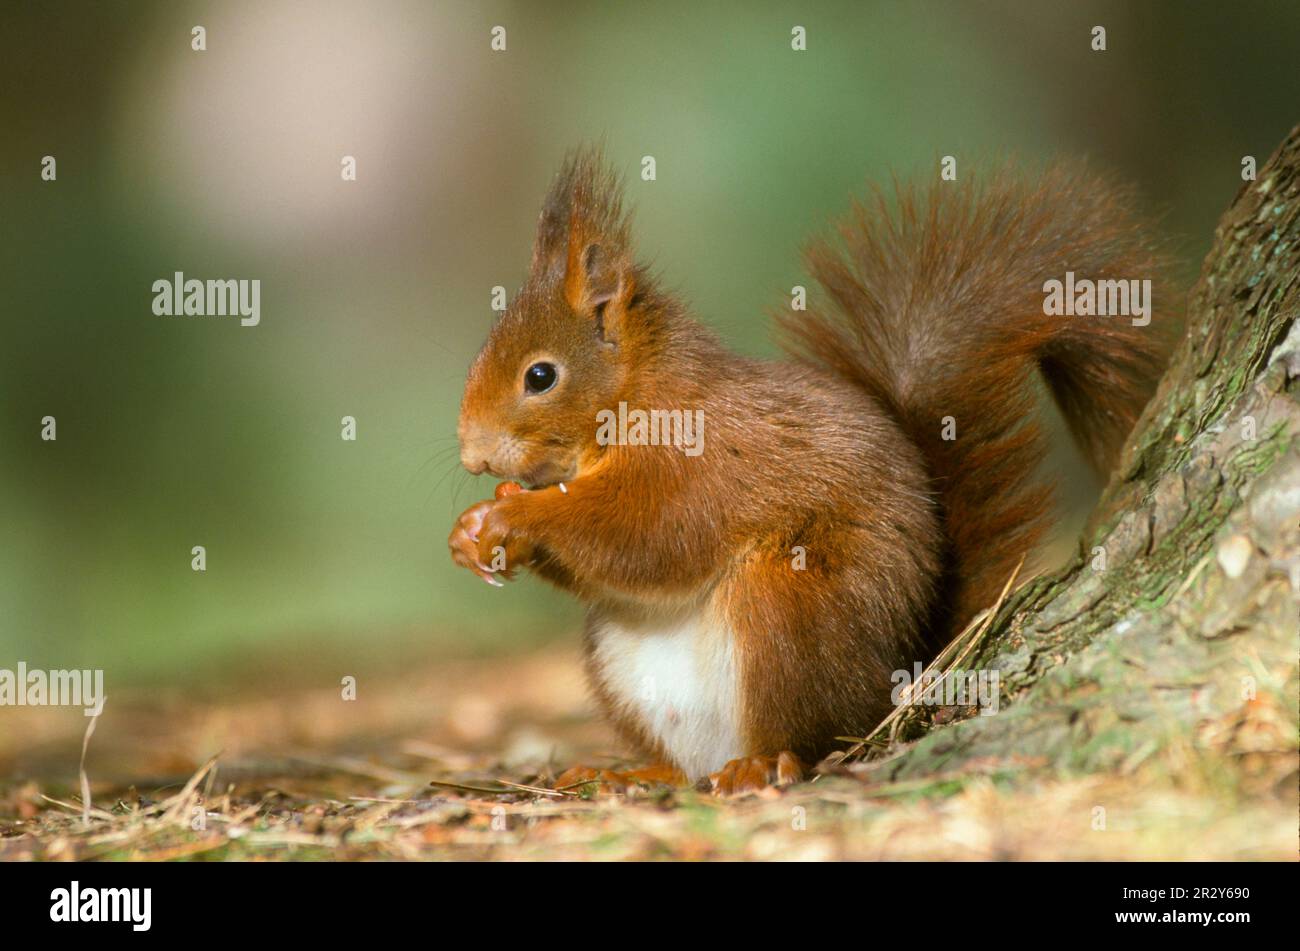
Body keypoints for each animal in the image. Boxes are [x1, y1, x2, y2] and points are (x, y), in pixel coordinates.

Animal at [449, 147, 1173, 795]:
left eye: (540, 376)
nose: (470, 455)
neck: (640, 395)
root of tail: (895, 678)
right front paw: (471, 530)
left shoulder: (702, 464)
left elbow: (646, 534)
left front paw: (514, 514)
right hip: (622, 662)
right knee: (683, 762)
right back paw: (630, 772)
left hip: (787, 610)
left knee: (807, 737)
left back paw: (761, 763)